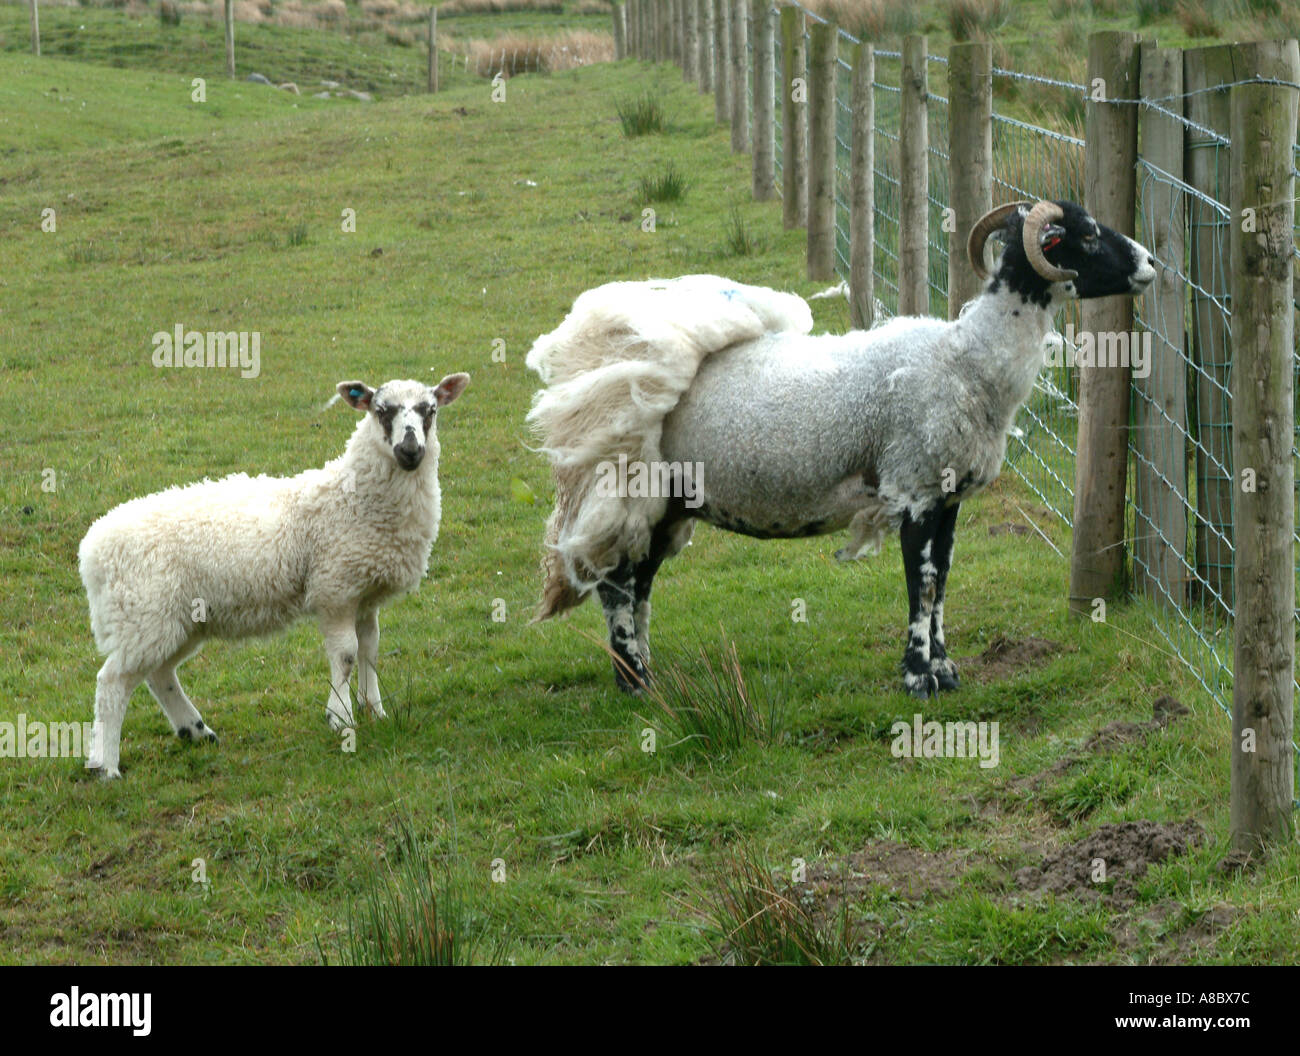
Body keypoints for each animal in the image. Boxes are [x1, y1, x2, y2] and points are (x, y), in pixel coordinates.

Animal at [79, 373, 470, 779]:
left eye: (430, 410)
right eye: (381, 411)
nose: (410, 451)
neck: (352, 498)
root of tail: (92, 551)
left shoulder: (364, 593)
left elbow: (371, 649)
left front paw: (374, 710)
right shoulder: (335, 589)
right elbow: (347, 654)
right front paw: (341, 718)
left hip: (174, 621)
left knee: (159, 675)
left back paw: (195, 731)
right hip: (143, 614)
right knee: (112, 684)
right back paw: (106, 765)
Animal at [526, 200, 1155, 696]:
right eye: (1086, 235)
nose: (1151, 265)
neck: (966, 362)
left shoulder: (947, 497)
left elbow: (943, 580)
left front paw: (945, 670)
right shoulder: (915, 486)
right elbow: (923, 583)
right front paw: (918, 678)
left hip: (669, 503)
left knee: (640, 582)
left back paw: (646, 673)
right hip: (636, 487)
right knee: (617, 583)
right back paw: (636, 682)